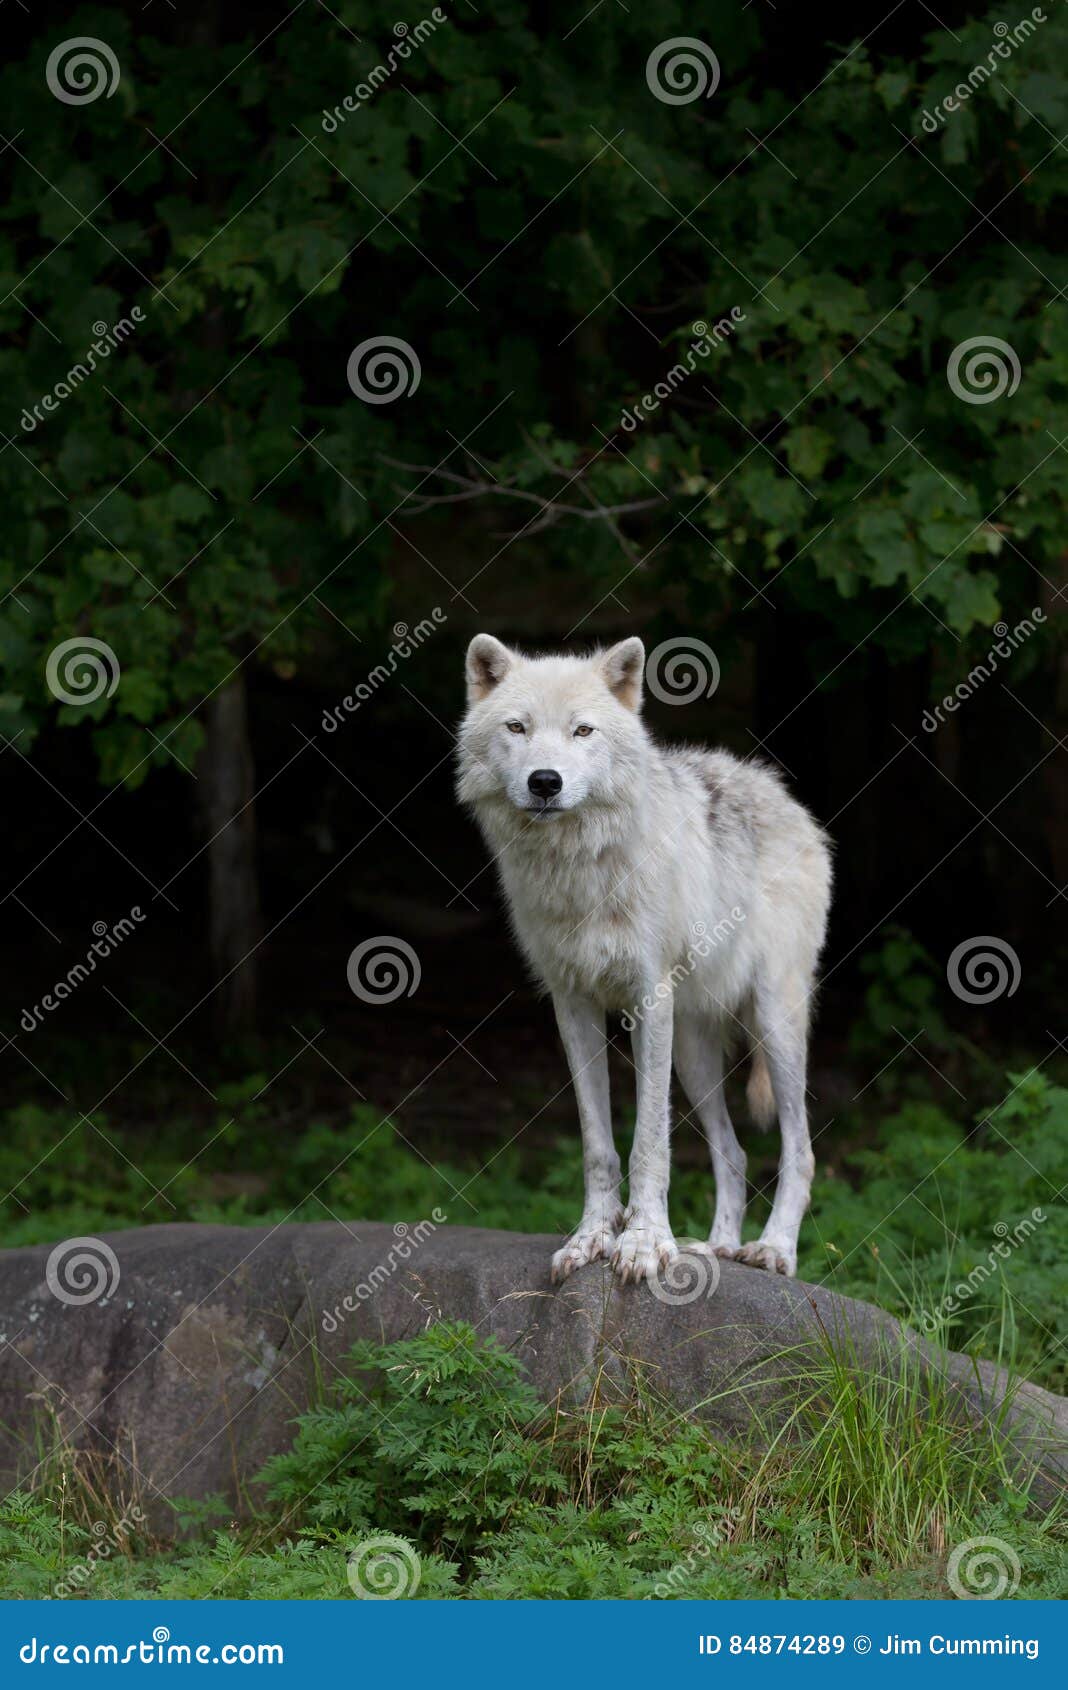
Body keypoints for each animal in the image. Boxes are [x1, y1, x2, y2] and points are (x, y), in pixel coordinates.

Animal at [457, 635, 832, 1284]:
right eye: (517, 727)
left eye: (582, 730)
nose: (545, 781)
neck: (579, 869)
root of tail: (777, 791)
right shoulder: (572, 1004)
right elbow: (598, 1143)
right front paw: (590, 1239)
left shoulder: (648, 1000)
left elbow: (649, 1140)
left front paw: (644, 1244)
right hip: (694, 1054)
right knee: (734, 1152)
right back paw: (716, 1247)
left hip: (773, 1024)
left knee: (800, 1151)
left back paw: (772, 1251)